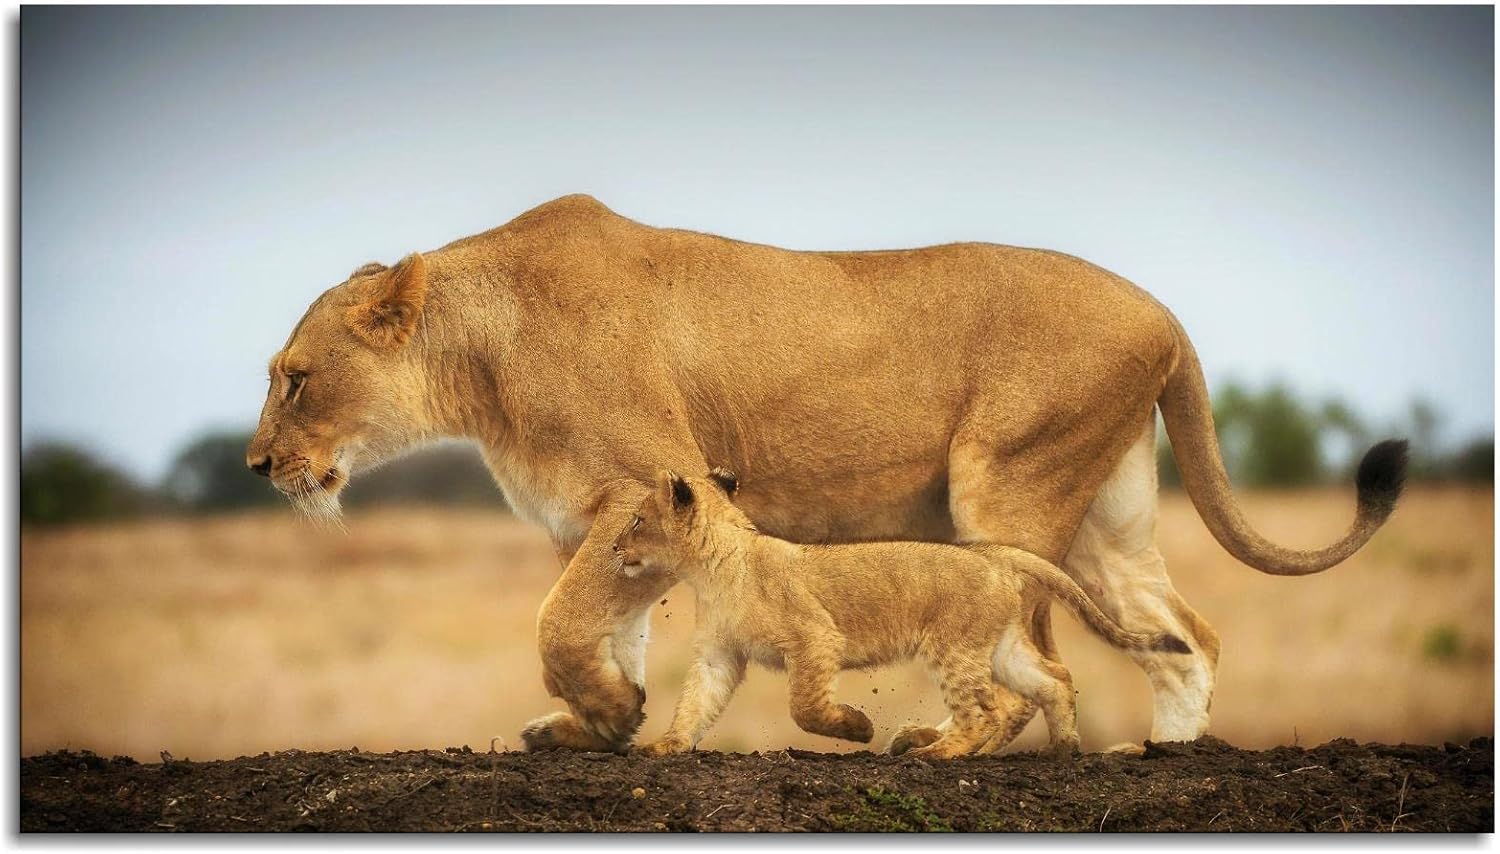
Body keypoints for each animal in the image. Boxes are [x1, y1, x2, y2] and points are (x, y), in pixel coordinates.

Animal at [613, 469, 1191, 759]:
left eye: (638, 520)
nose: (615, 547)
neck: (709, 571)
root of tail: (994, 555)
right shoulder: (719, 655)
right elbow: (695, 703)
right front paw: (666, 746)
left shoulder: (816, 637)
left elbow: (805, 707)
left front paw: (858, 727)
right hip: (998, 646)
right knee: (1050, 680)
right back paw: (1063, 748)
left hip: (953, 648)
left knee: (985, 709)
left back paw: (936, 754)